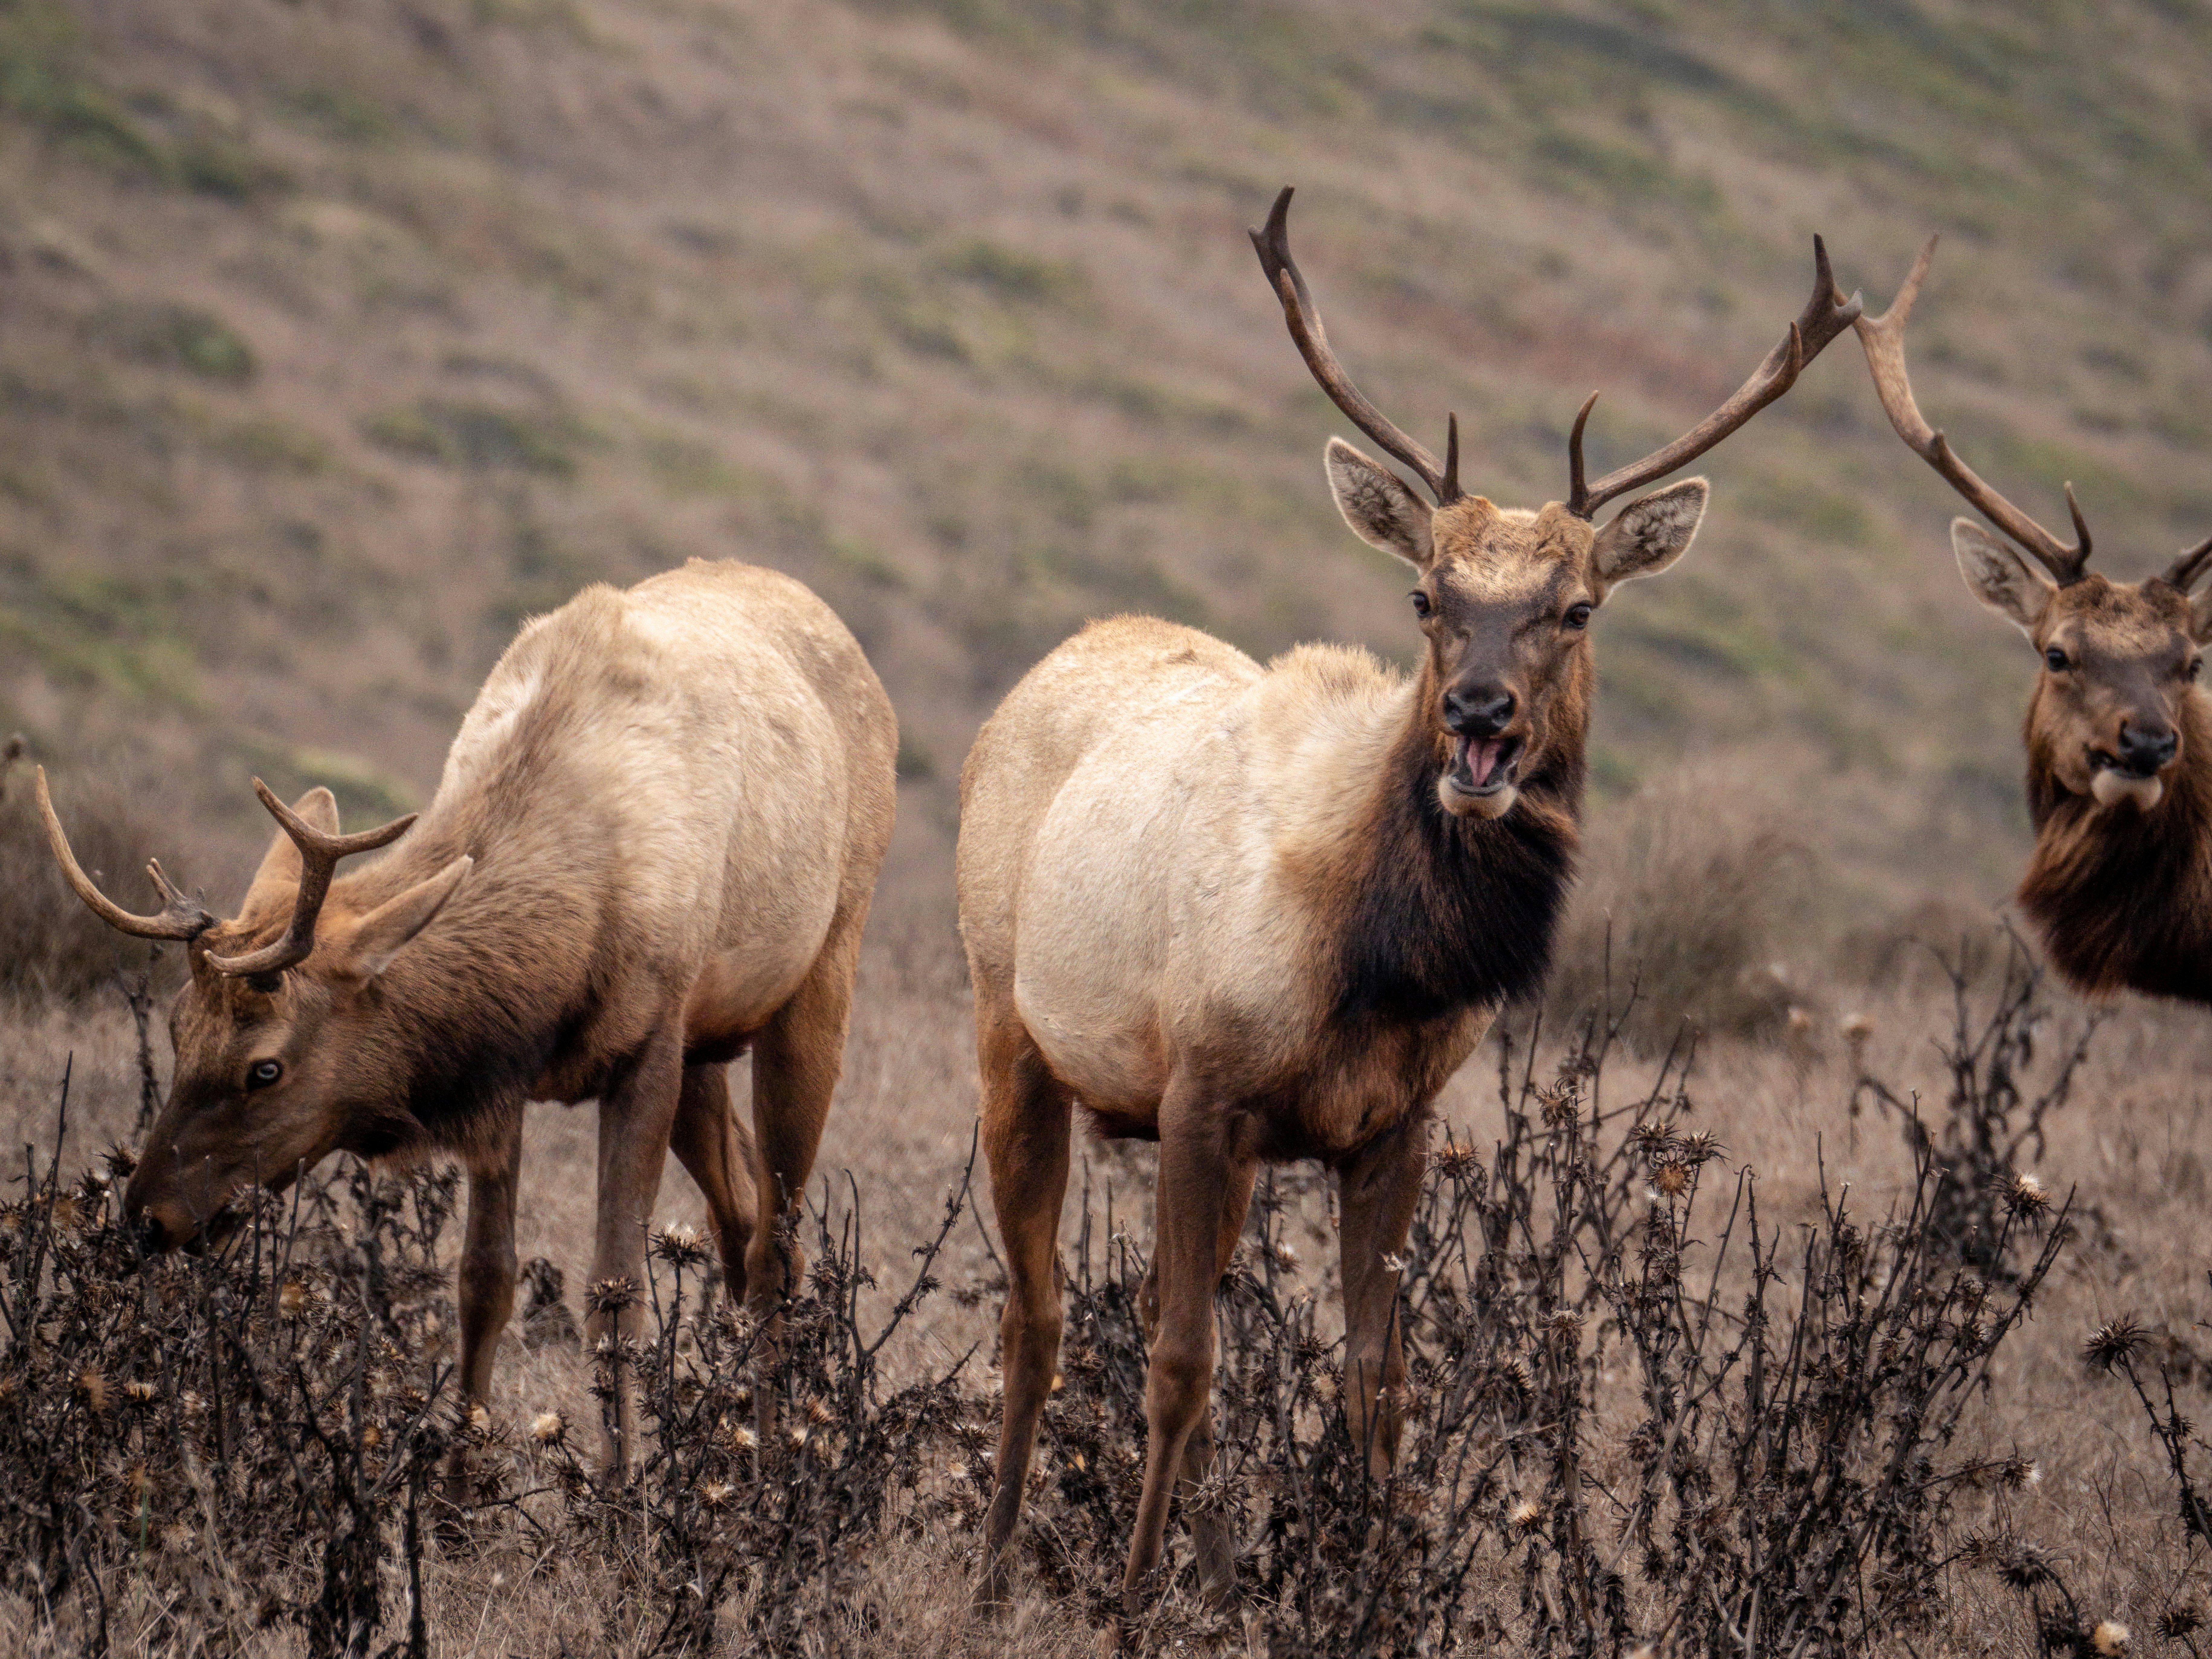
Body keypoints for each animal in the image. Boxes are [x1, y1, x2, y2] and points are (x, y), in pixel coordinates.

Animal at [34, 558, 896, 1466]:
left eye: (265, 1066)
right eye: (174, 1029)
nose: (145, 1219)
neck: (570, 926)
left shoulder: (648, 1045)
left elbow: (614, 1292)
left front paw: (621, 1490)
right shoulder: (502, 1073)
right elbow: (484, 1282)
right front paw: (460, 1477)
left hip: (818, 973)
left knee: (776, 1244)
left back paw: (775, 1454)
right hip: (709, 1040)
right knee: (737, 1213)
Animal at [957, 185, 1860, 1631]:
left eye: (1576, 606)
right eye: (1427, 595)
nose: (1479, 718)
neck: (1377, 966)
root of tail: (1053, 660)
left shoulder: (1392, 1125)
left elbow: (1376, 1379)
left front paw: (1375, 1596)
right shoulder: (1201, 1088)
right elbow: (1177, 1358)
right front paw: (1132, 1598)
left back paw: (1214, 1574)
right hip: (1009, 1026)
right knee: (1035, 1314)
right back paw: (998, 1565)